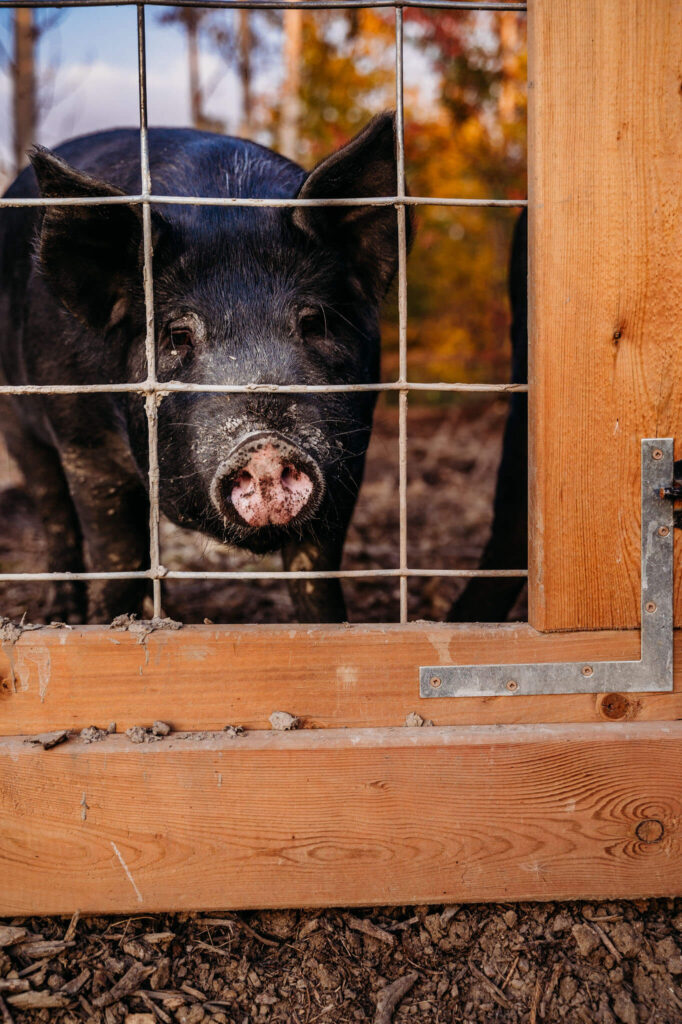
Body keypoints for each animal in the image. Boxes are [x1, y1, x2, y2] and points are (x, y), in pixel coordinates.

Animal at [0, 113, 411, 623]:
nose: (265, 445)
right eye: (178, 335)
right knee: (52, 507)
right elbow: (116, 553)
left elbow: (315, 575)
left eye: (314, 321)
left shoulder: (351, 452)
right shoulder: (84, 443)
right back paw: (64, 613)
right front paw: (107, 623)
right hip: (18, 423)